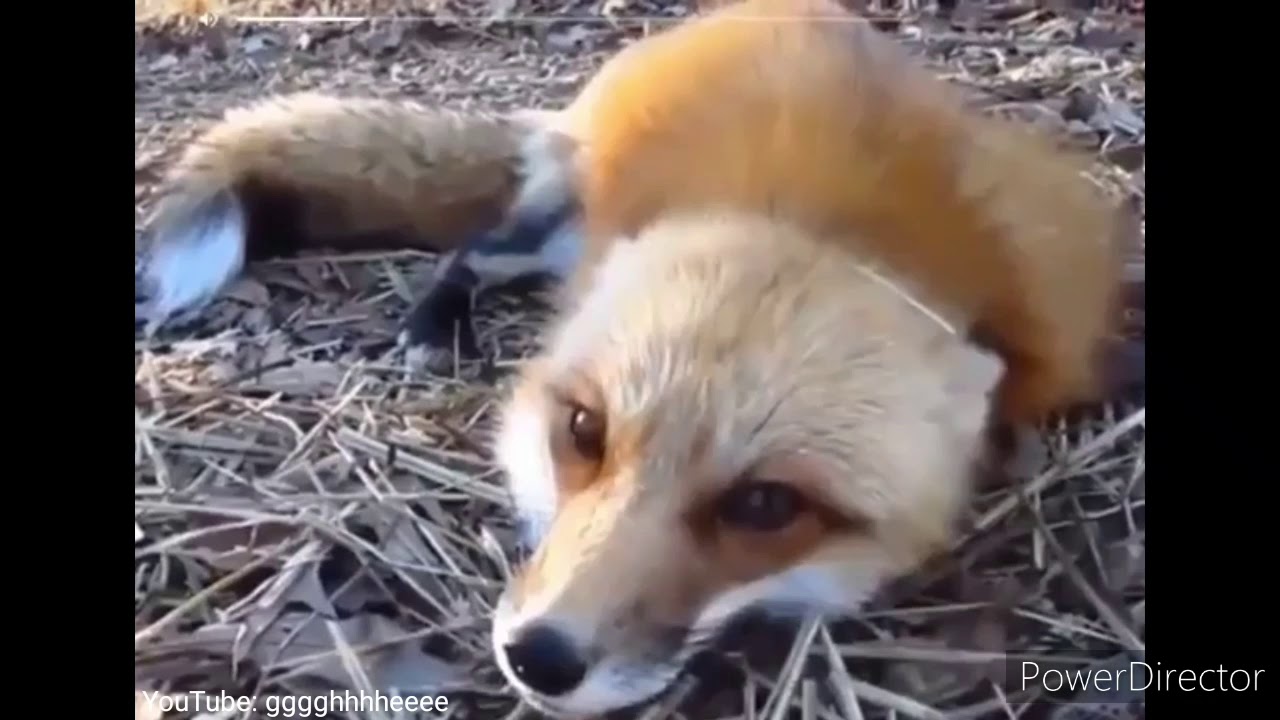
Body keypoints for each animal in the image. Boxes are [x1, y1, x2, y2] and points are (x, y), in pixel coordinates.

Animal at [134, 0, 1143, 715]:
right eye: (584, 430)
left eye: (767, 506)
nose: (538, 658)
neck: (827, 214)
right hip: (556, 229)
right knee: (472, 252)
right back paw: (432, 326)